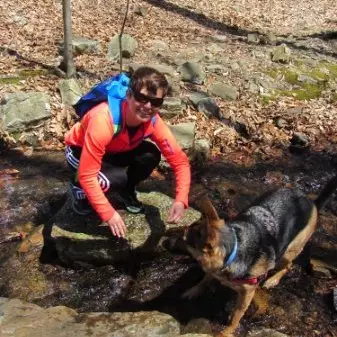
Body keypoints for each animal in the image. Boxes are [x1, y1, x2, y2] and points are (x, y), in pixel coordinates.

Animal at [165, 177, 336, 334]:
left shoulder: (246, 294)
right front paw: (195, 290)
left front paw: (227, 332)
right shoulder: (214, 270)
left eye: (184, 240)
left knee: (288, 266)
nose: (165, 241)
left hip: (289, 251)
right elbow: (205, 278)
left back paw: (273, 280)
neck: (234, 251)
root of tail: (311, 201)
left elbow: (235, 316)